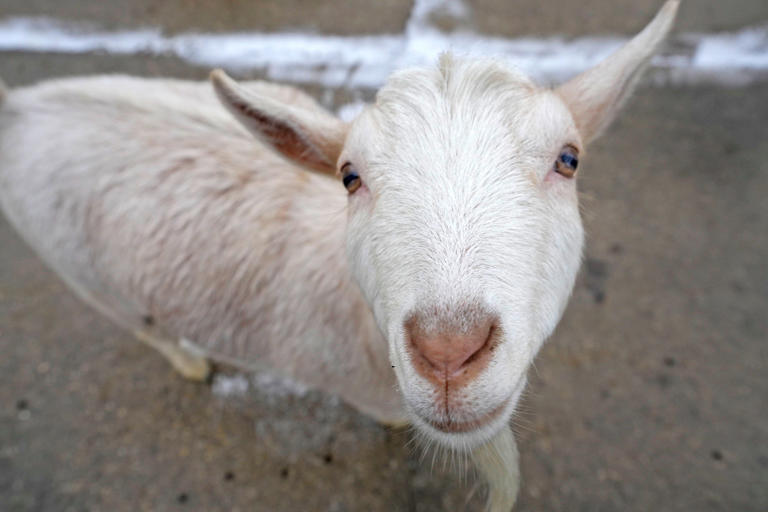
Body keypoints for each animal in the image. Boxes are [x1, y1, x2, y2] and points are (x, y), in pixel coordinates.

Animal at [0, 2, 679, 509]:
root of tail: (19, 107)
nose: (448, 354)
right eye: (350, 176)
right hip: (82, 275)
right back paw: (189, 361)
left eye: (569, 159)